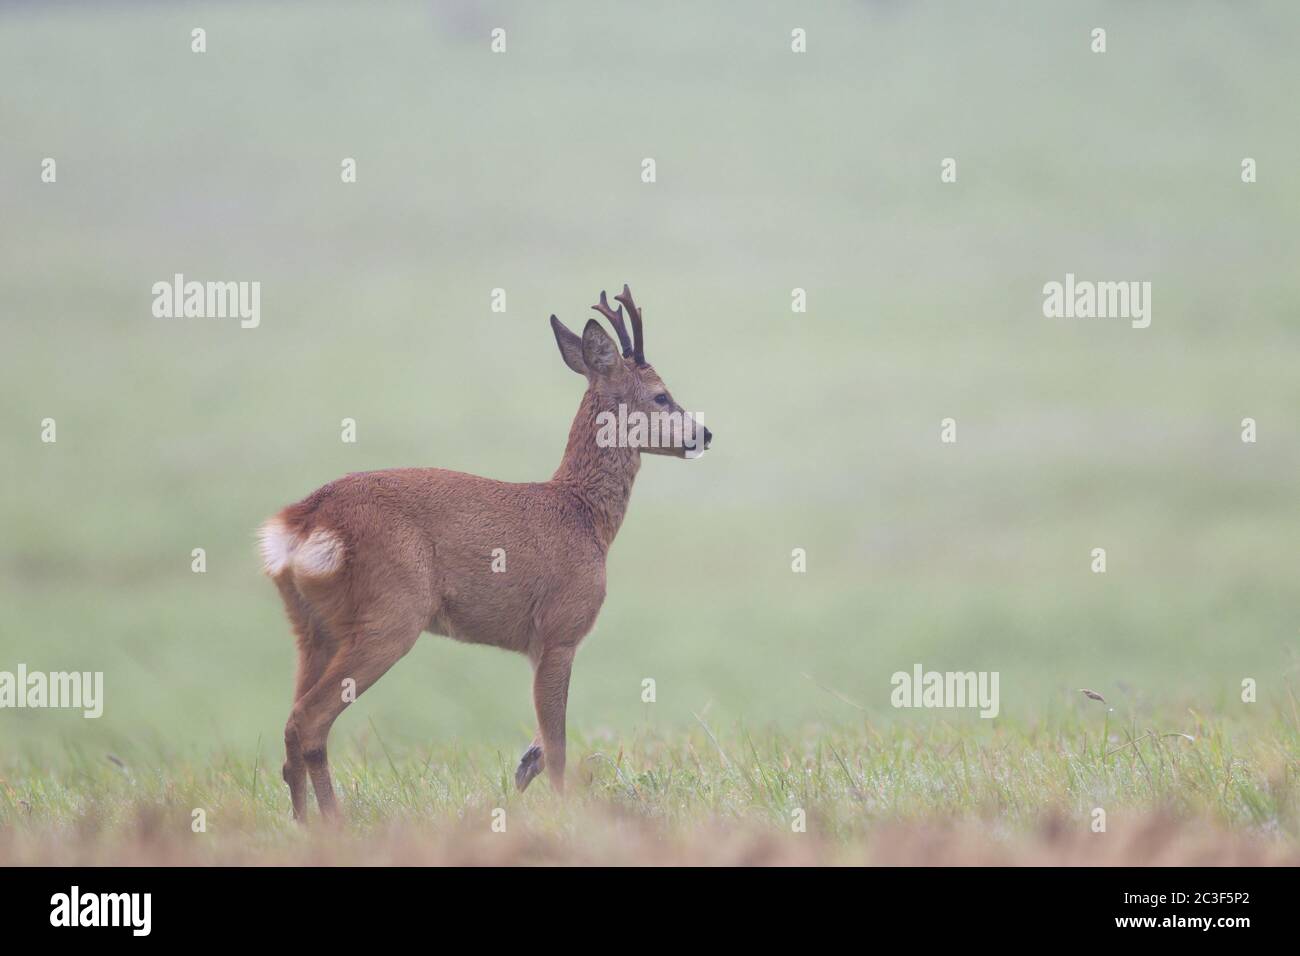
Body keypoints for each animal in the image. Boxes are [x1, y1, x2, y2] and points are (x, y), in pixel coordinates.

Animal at [257, 285, 712, 820]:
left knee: (291, 727)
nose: (704, 434)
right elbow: (558, 744)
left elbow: (543, 742)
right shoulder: (560, 629)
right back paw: (333, 823)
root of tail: (304, 518)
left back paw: (304, 822)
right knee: (309, 720)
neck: (583, 517)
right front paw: (564, 808)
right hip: (390, 615)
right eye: (661, 394)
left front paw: (523, 770)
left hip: (312, 628)